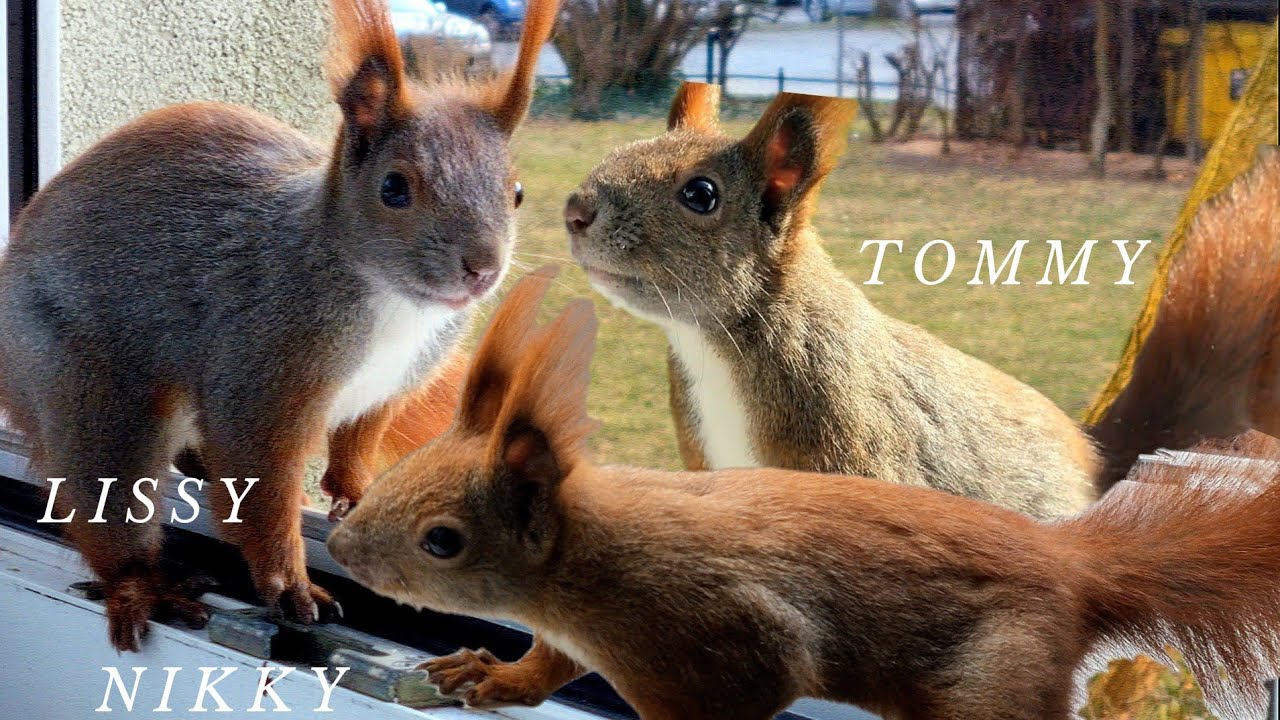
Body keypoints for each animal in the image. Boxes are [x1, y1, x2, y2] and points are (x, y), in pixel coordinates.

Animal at [0, 0, 559, 651]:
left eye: (516, 192)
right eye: (394, 187)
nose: (481, 269)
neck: (396, 302)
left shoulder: (390, 386)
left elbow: (357, 443)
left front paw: (358, 490)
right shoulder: (262, 365)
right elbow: (260, 489)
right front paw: (289, 584)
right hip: (87, 389)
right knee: (106, 496)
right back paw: (140, 584)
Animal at [328, 267, 1280, 720]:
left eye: (442, 539)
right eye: (398, 477)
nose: (335, 546)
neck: (582, 564)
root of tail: (1073, 562)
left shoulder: (715, 627)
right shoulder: (576, 635)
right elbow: (547, 668)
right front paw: (487, 675)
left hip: (996, 673)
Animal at [562, 82, 1280, 520]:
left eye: (701, 194)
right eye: (619, 149)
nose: (575, 209)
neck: (714, 347)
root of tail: (1098, 465)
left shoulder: (854, 443)